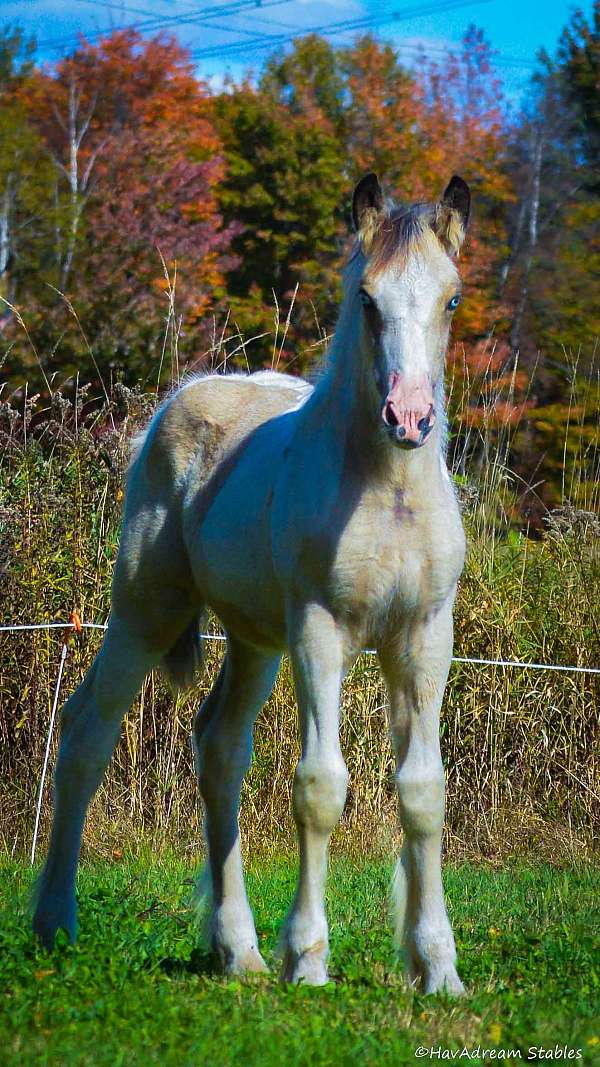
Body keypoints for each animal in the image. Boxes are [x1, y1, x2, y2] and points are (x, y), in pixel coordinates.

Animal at [33, 171, 470, 995]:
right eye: (366, 297)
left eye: (452, 298)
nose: (409, 417)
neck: (388, 490)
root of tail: (181, 400)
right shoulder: (320, 630)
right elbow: (321, 787)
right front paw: (310, 960)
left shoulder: (425, 635)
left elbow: (425, 791)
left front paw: (438, 967)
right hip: (146, 610)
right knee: (86, 733)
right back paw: (55, 924)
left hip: (254, 641)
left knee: (220, 748)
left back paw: (237, 950)